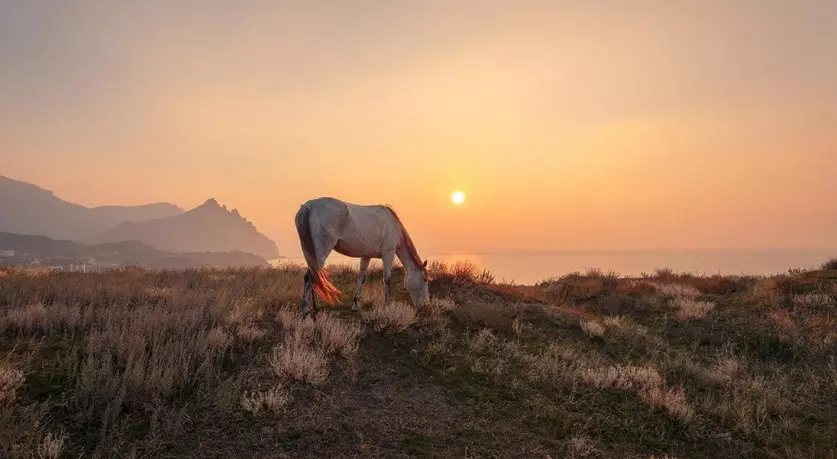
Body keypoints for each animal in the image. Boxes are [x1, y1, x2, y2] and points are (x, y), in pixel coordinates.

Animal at [292, 196, 428, 318]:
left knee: (313, 276)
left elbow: (361, 278)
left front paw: (356, 305)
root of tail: (308, 206)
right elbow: (387, 279)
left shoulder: (366, 256)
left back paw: (315, 308)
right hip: (321, 253)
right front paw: (388, 305)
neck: (393, 225)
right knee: (311, 277)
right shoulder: (388, 254)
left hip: (310, 253)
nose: (424, 305)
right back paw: (306, 310)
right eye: (425, 279)